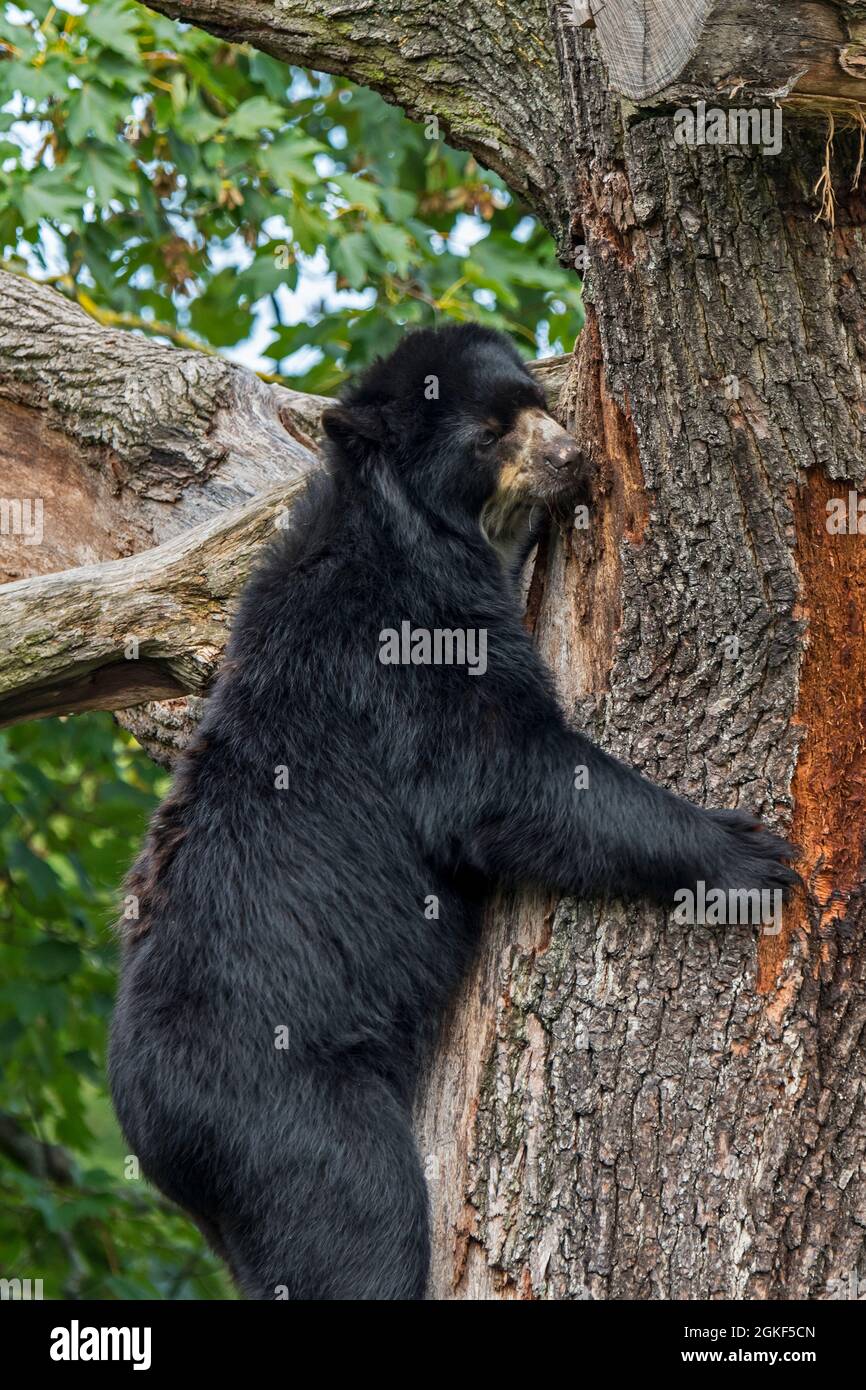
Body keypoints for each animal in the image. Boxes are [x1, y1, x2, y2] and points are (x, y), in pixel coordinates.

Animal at [108, 322, 797, 1300]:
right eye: (487, 434)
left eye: (536, 401)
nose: (573, 457)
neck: (403, 529)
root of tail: (142, 1117)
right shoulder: (405, 642)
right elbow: (497, 774)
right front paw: (743, 854)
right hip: (281, 1103)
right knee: (356, 1225)